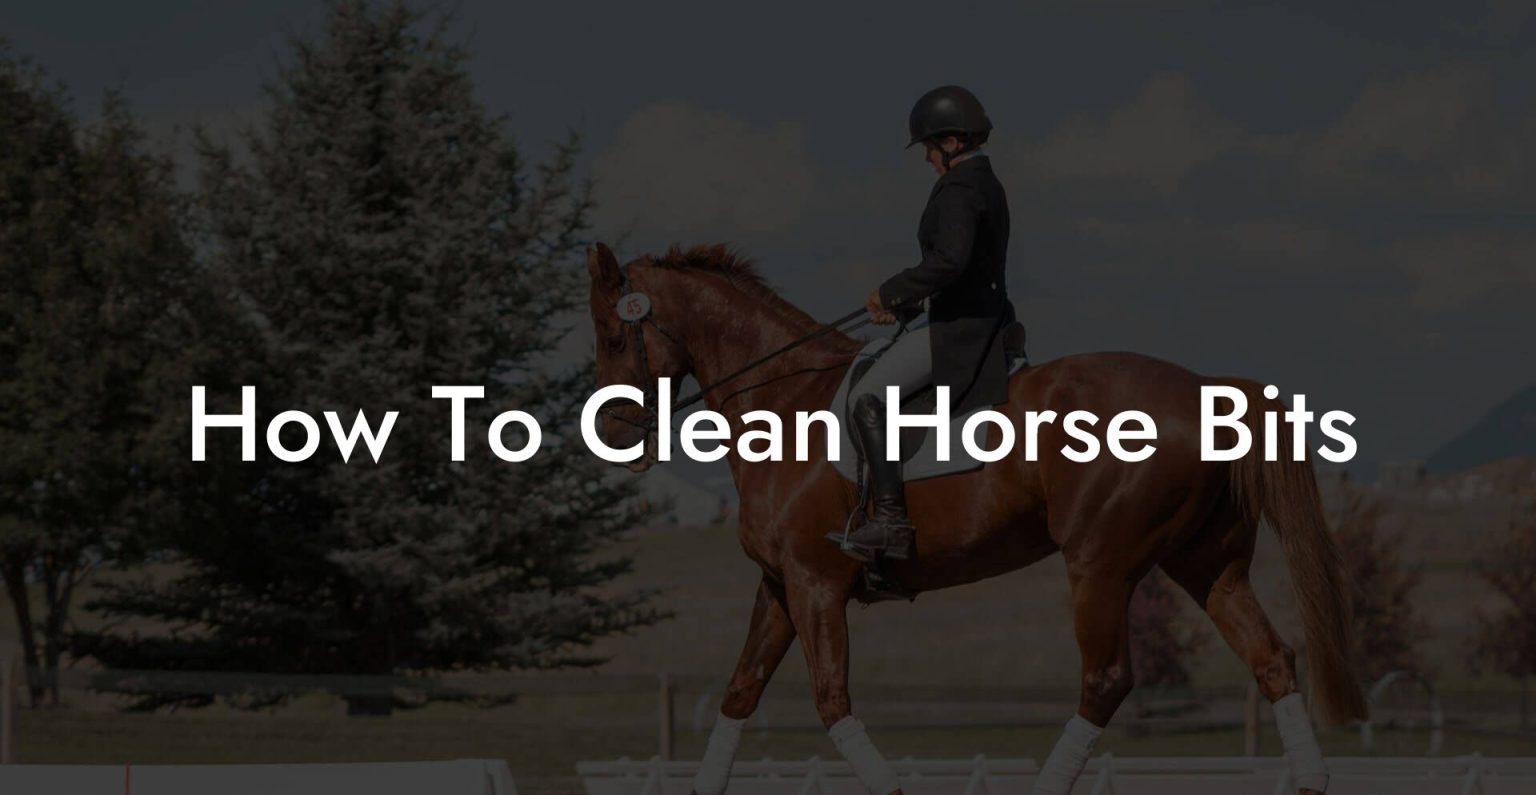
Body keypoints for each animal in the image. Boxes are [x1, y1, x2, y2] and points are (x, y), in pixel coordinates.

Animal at [584, 242, 1365, 795]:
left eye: (615, 338)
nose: (616, 436)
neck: (783, 400)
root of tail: (1204, 387)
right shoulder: (781, 585)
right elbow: (741, 691)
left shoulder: (815, 586)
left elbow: (832, 701)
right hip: (1207, 562)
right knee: (1271, 657)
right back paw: (1310, 779)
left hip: (1100, 563)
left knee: (1106, 680)